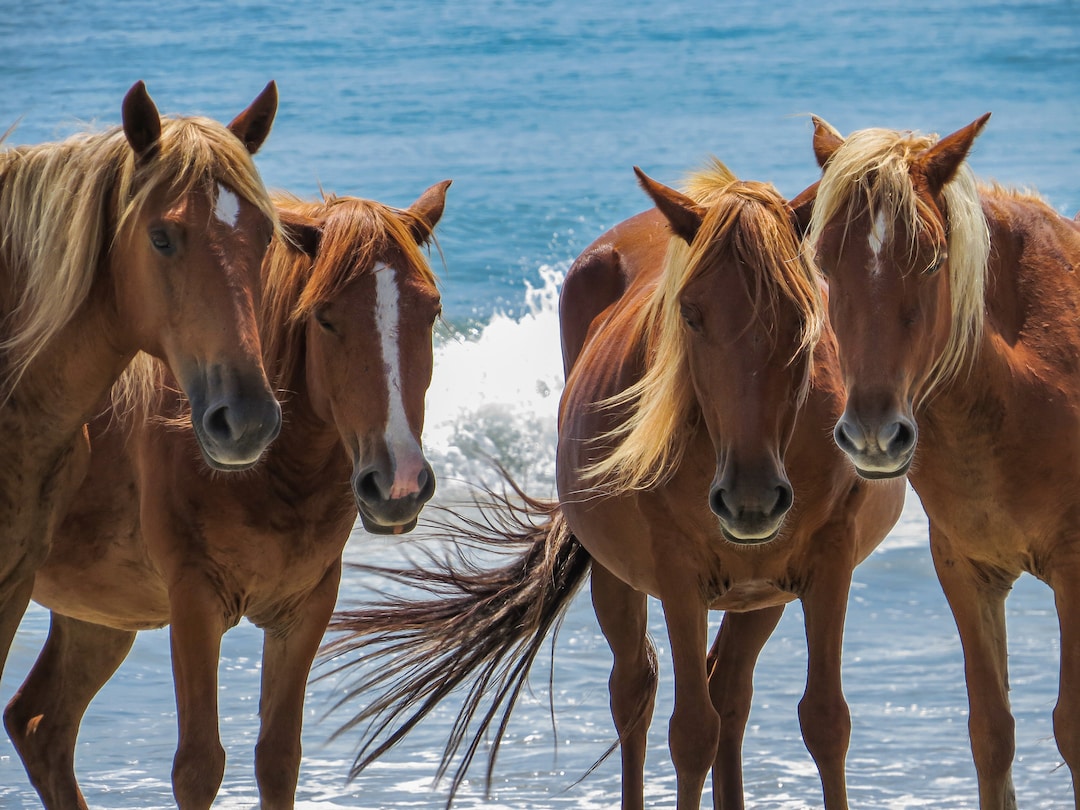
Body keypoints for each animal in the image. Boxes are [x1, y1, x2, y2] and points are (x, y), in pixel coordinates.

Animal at [4, 182, 448, 810]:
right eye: (324, 318)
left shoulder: (305, 611)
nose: (399, 484)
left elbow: (279, 758)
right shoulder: (195, 603)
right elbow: (199, 766)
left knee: (41, 726)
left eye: (430, 312)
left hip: (100, 616)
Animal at [320, 161, 905, 809]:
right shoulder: (678, 575)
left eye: (802, 315)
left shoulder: (829, 565)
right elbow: (690, 733)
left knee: (730, 692)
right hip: (618, 573)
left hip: (761, 594)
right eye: (691, 313)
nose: (750, 498)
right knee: (635, 693)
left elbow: (825, 721)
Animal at [806, 114, 1080, 809]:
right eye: (824, 262)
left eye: (930, 260)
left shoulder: (1076, 570)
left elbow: (1072, 726)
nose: (873, 434)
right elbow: (991, 731)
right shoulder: (965, 570)